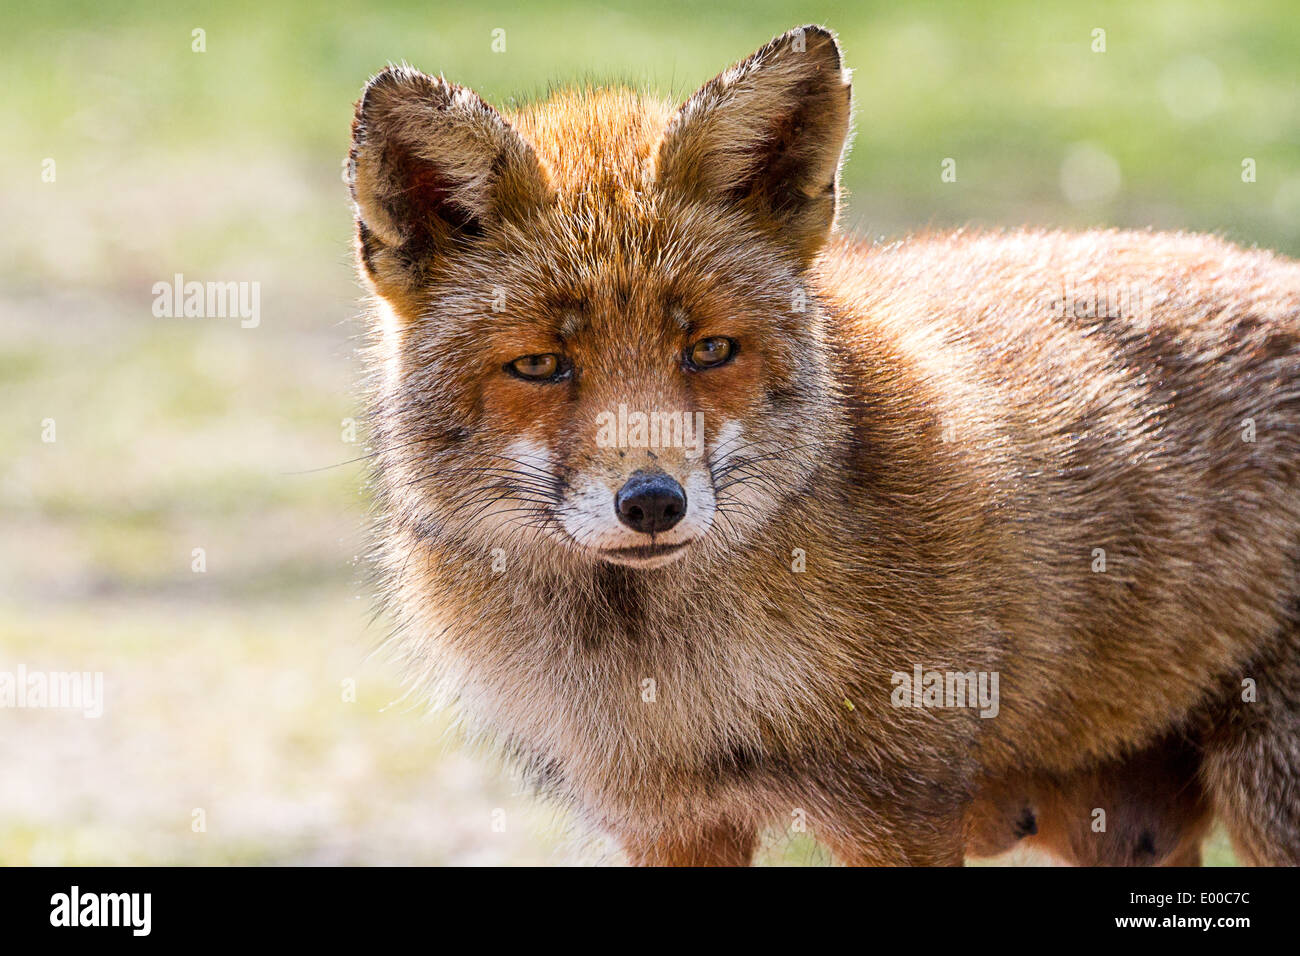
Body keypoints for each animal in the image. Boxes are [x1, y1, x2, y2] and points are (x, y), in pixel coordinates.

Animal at [345, 25, 1300, 865]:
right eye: (542, 364)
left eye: (710, 350)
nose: (652, 503)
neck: (676, 689)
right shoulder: (669, 824)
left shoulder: (896, 812)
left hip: (1261, 803)